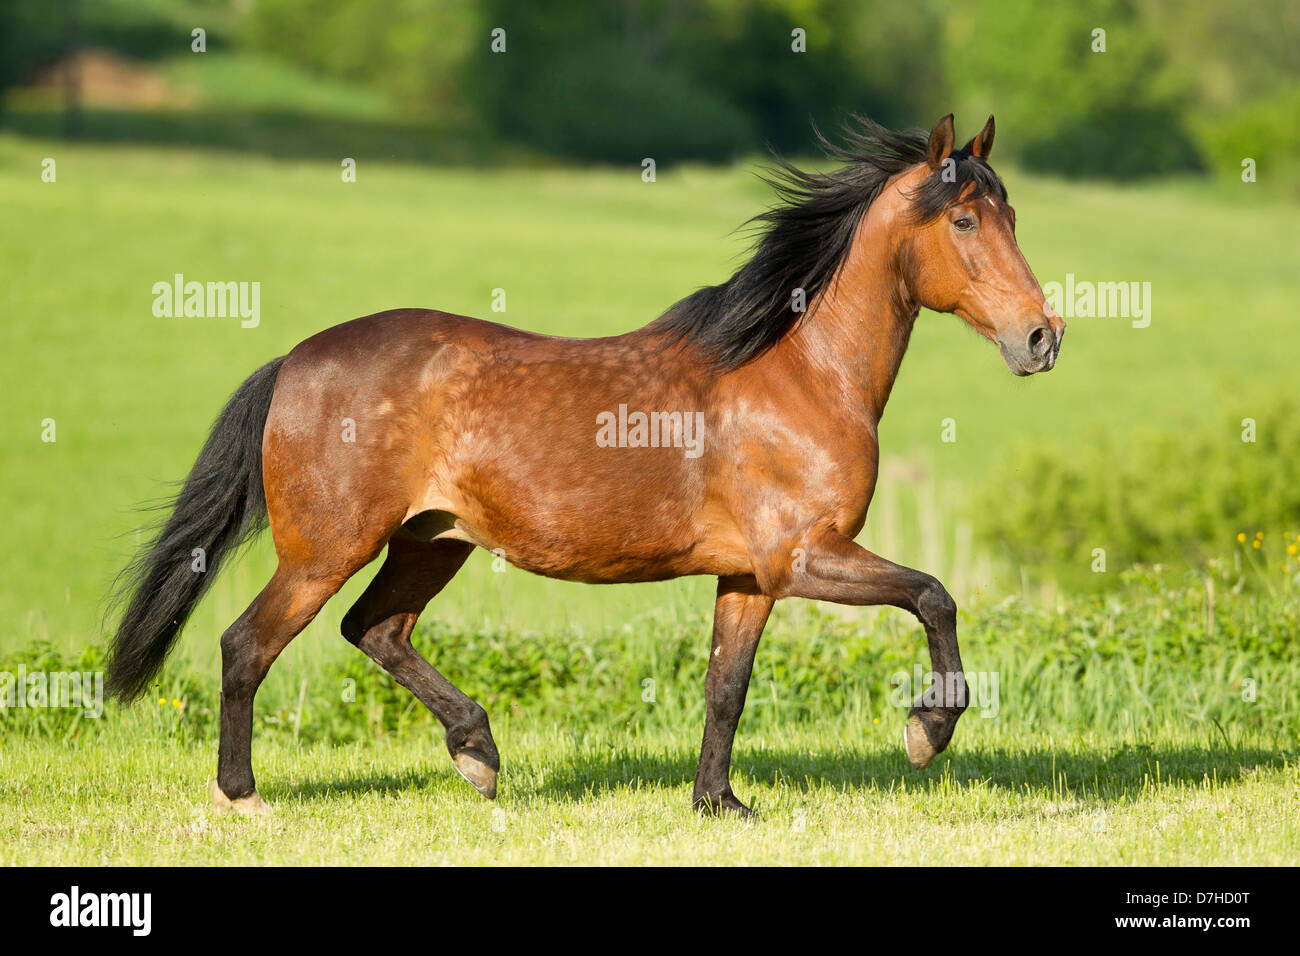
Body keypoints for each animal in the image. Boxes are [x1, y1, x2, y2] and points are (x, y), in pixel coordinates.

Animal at [105, 113, 1064, 817]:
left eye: (1015, 218)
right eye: (965, 219)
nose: (1041, 338)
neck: (799, 369)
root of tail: (295, 363)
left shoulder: (751, 577)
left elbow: (726, 687)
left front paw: (717, 802)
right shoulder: (804, 556)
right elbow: (934, 595)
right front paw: (926, 732)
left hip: (430, 542)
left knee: (375, 630)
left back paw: (479, 754)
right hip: (324, 551)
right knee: (248, 645)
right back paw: (243, 796)